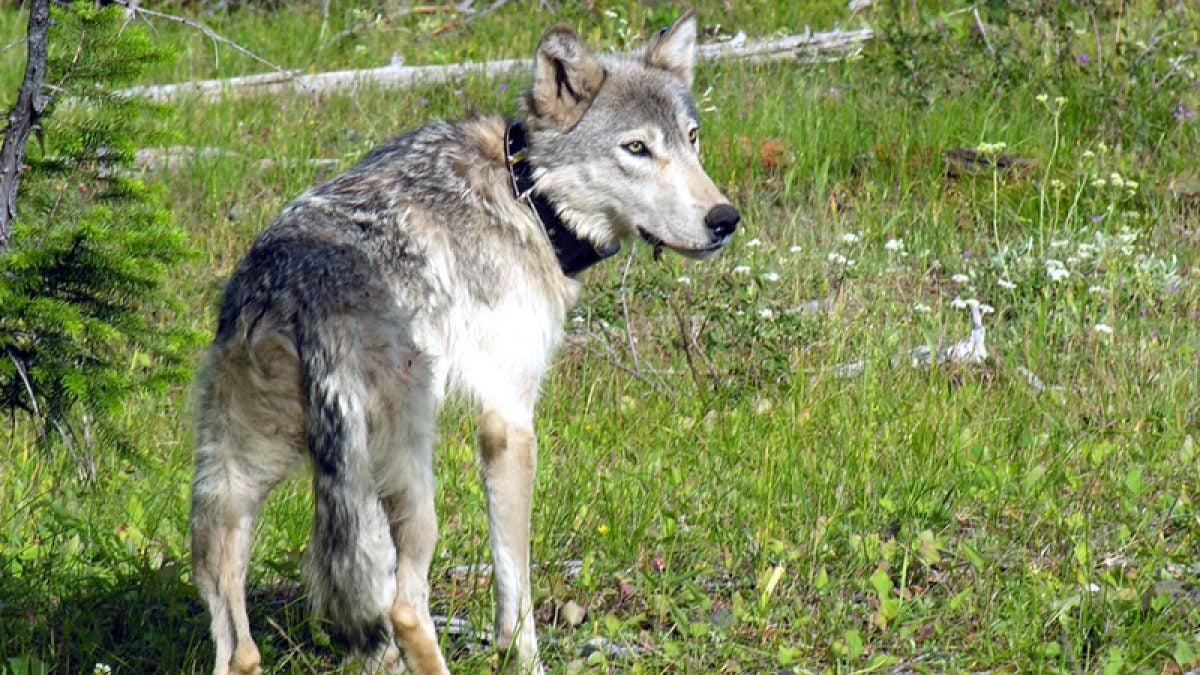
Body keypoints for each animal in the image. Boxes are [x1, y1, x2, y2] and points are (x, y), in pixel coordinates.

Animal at [189, 10, 739, 674]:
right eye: (636, 148)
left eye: (692, 138)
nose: (725, 219)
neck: (528, 198)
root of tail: (300, 286)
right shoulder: (509, 420)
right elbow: (515, 586)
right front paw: (522, 657)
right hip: (408, 476)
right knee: (401, 606)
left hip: (234, 487)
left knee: (241, 649)